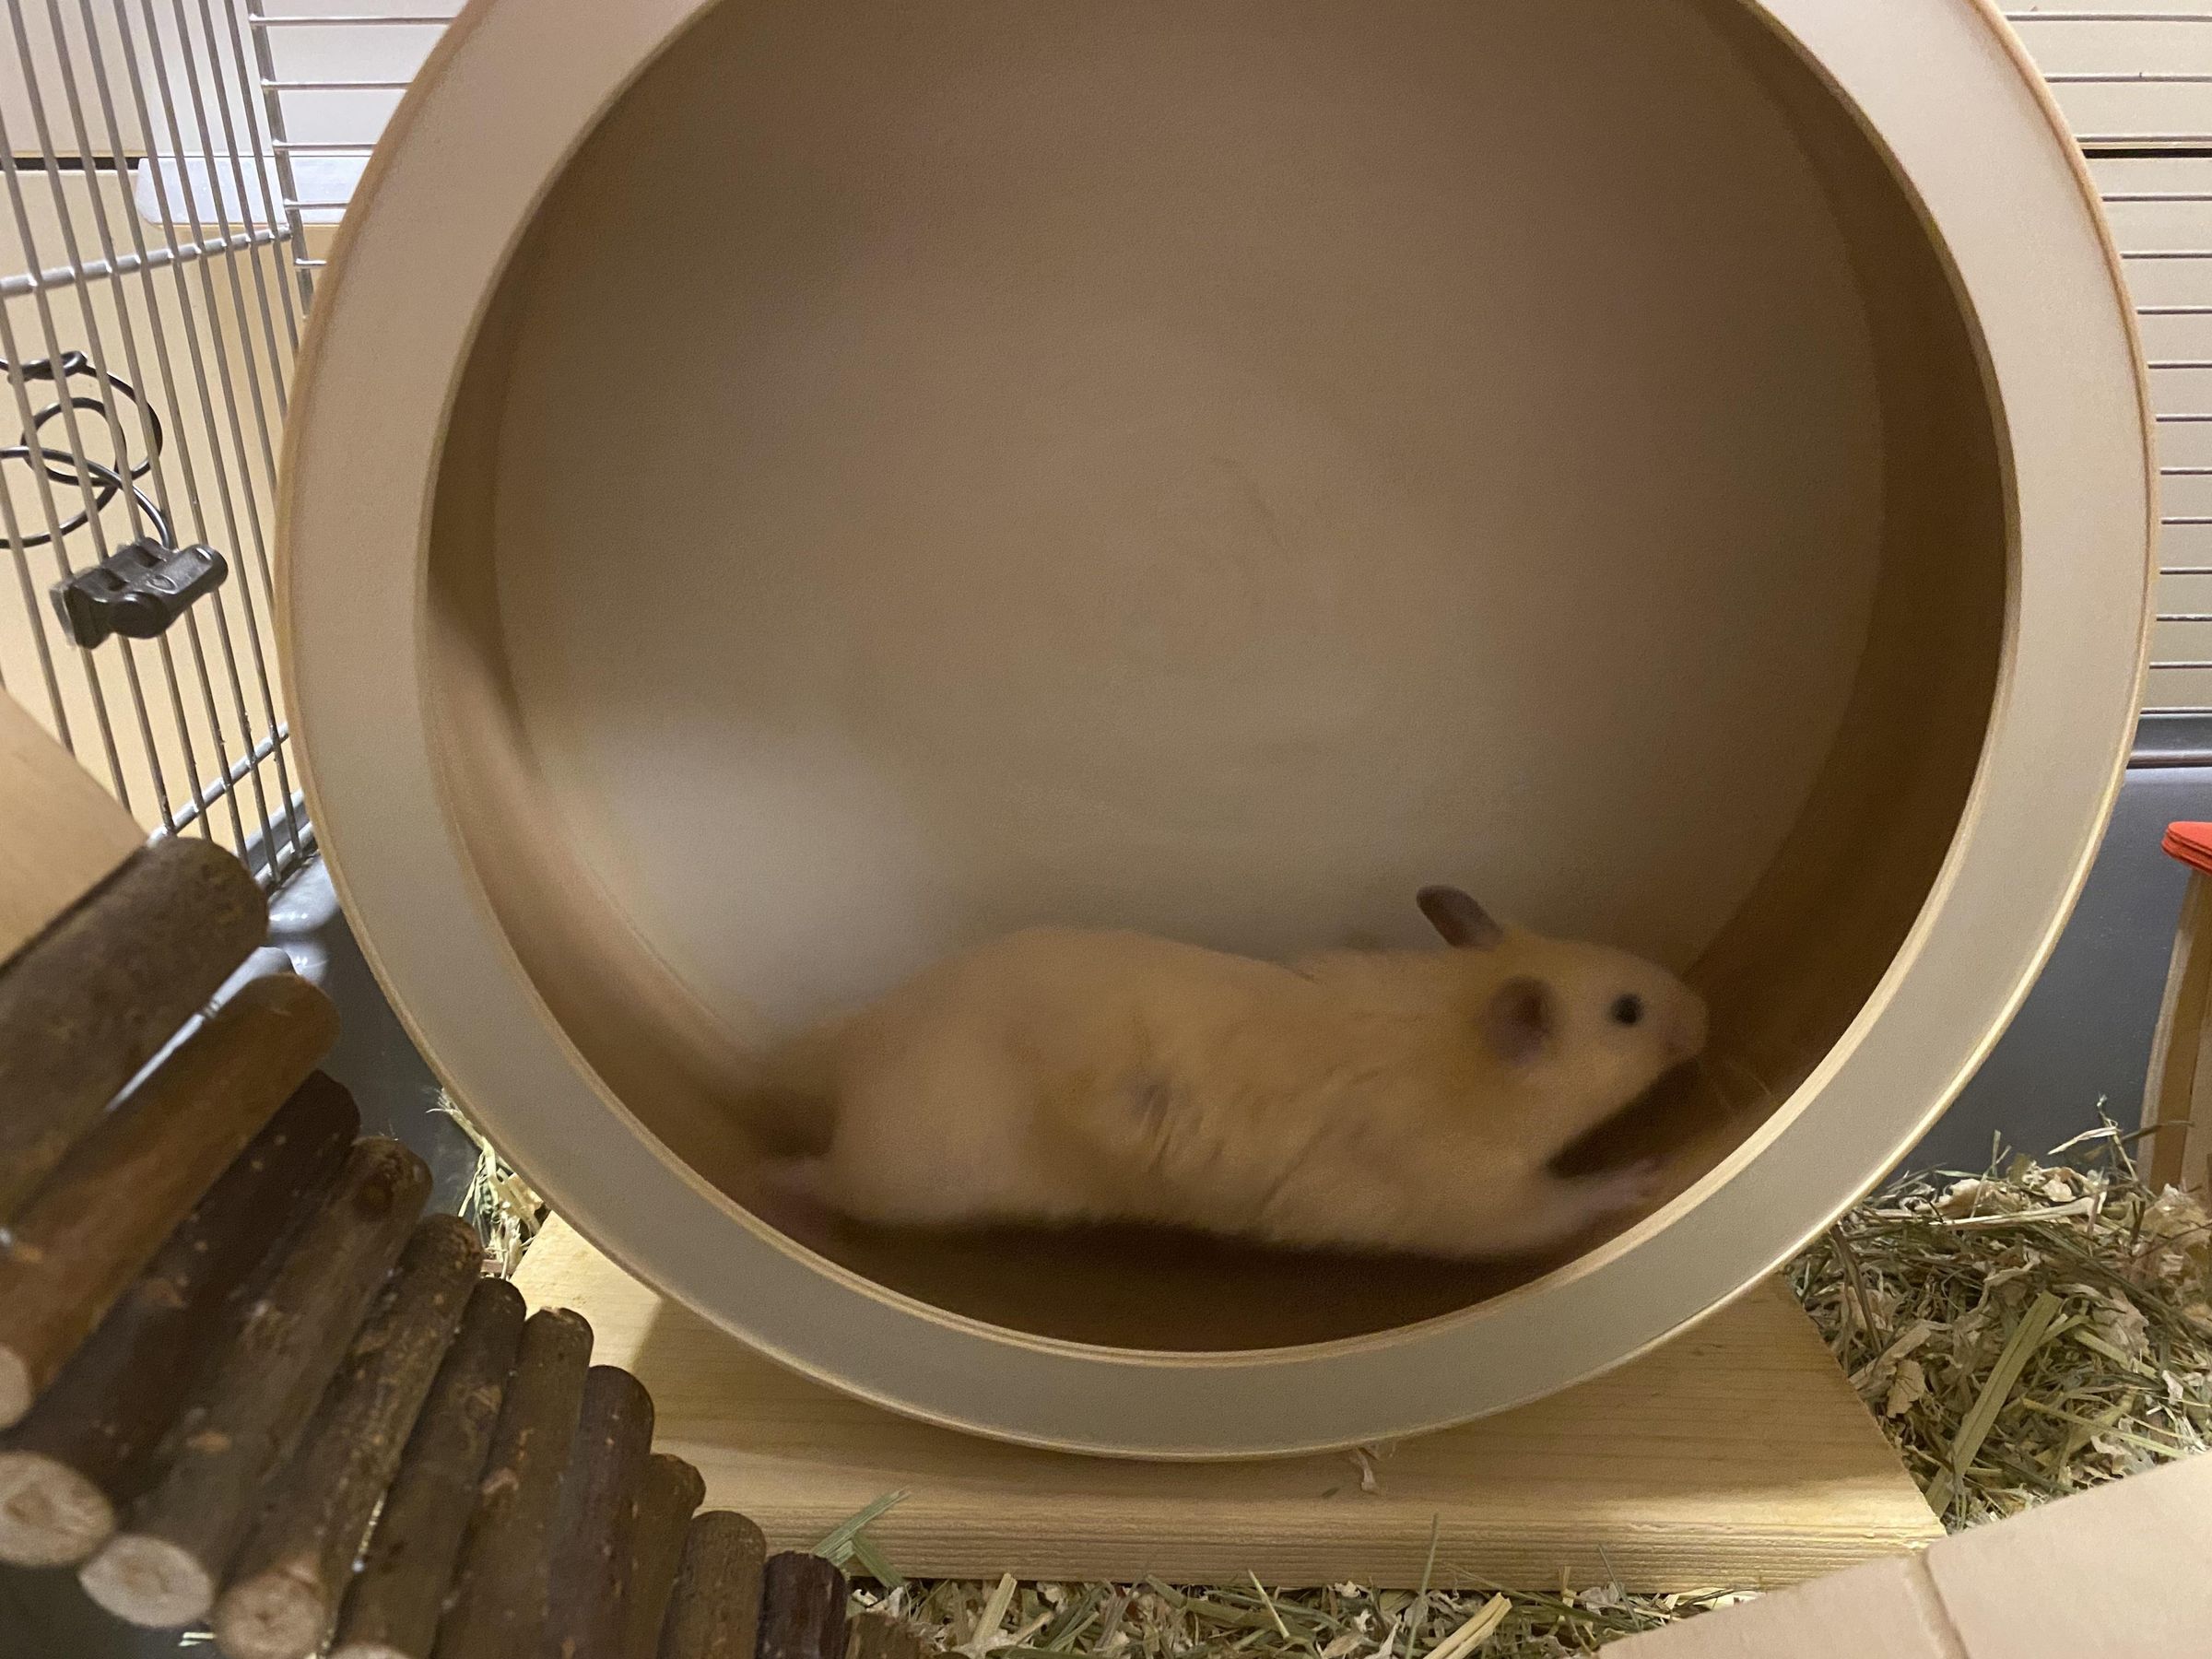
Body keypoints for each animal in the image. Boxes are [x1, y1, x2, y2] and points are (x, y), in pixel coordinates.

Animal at [736, 885, 1707, 1260]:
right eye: (1628, 1013)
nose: (1707, 1013)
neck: (1454, 1027)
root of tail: (865, 1039)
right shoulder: (1473, 1202)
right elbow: (1558, 1206)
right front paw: (1642, 1177)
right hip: (907, 1175)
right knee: (808, 1174)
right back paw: (781, 1203)